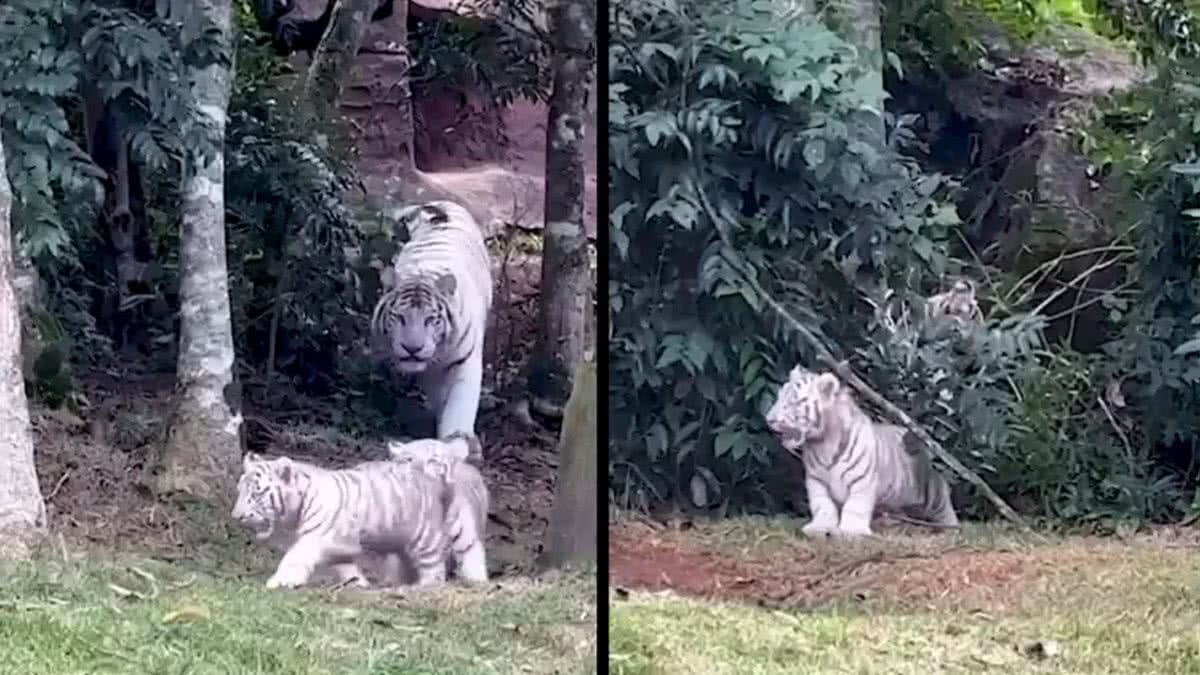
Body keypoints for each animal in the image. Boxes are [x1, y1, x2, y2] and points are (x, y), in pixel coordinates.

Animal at [231, 451, 453, 589]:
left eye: (257, 494)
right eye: (239, 491)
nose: (236, 516)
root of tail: (429, 477)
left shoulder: (316, 538)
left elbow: (295, 556)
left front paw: (282, 580)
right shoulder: (340, 548)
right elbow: (346, 567)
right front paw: (358, 583)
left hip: (425, 540)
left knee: (434, 567)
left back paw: (427, 586)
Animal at [369, 200, 494, 438]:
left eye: (430, 319)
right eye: (399, 317)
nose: (412, 349)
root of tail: (438, 202)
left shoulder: (465, 363)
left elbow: (459, 406)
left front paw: (457, 436)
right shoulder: (430, 373)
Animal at [764, 366, 959, 538]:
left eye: (794, 402)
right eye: (779, 398)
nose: (768, 419)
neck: (821, 444)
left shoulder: (861, 479)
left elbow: (855, 506)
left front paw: (852, 531)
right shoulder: (816, 481)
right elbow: (822, 505)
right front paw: (821, 527)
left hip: (930, 489)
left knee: (944, 500)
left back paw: (951, 528)